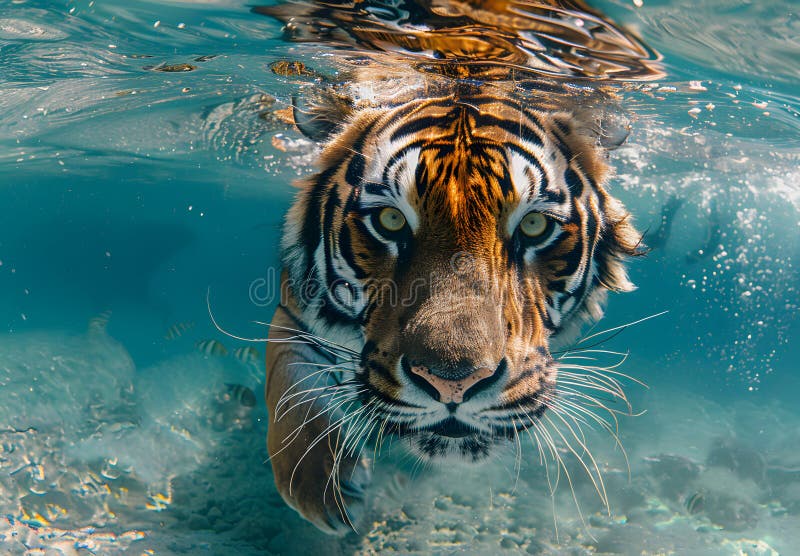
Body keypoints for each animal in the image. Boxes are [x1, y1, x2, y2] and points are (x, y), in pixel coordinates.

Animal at [259, 0, 658, 534]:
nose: (454, 383)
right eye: (389, 220)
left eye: (534, 225)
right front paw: (322, 487)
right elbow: (290, 382)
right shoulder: (294, 308)